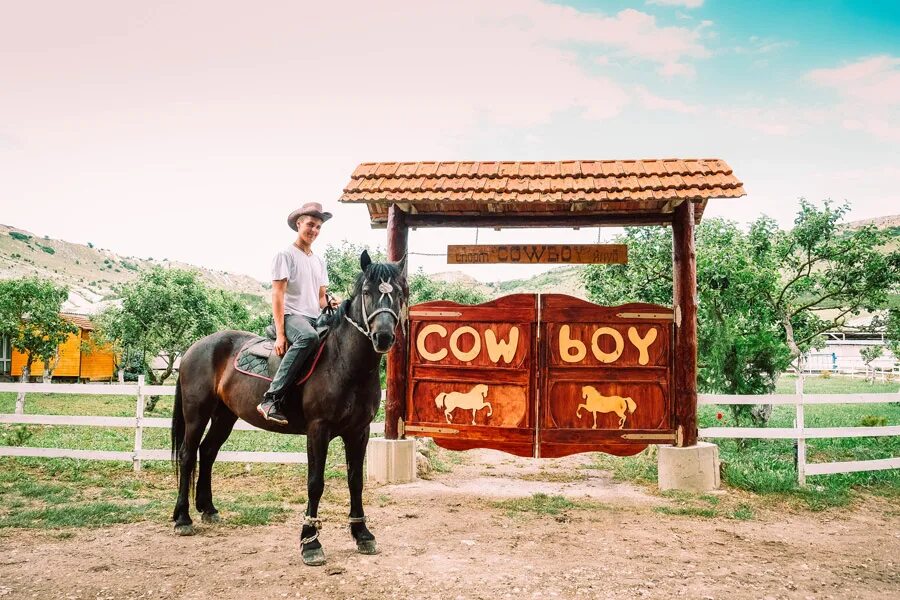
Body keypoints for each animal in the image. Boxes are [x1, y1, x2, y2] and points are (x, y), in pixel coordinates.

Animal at [170, 250, 408, 568]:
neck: (344, 362)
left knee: (207, 452)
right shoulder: (318, 430)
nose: (383, 337)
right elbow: (315, 482)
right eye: (367, 292)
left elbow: (355, 480)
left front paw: (362, 534)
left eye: (400, 294)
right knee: (187, 455)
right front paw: (310, 542)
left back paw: (208, 509)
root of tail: (193, 349)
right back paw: (183, 518)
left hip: (225, 415)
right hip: (197, 413)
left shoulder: (359, 431)